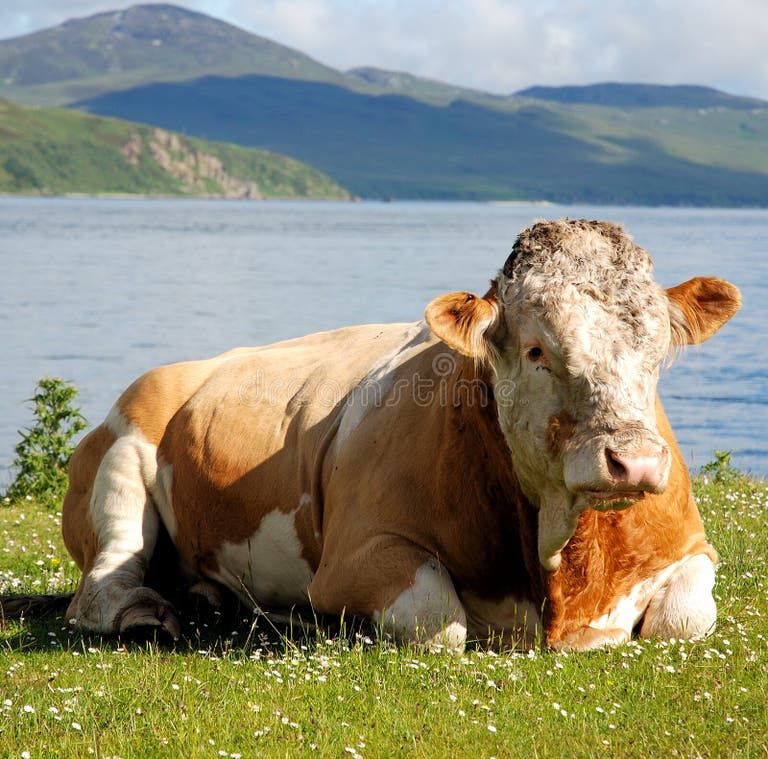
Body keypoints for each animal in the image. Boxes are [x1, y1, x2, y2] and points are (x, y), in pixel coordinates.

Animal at [61, 219, 741, 651]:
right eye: (536, 350)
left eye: (657, 352)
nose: (635, 462)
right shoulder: (356, 555)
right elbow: (439, 621)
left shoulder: (692, 546)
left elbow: (685, 617)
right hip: (121, 450)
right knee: (101, 583)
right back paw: (147, 613)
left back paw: (207, 599)